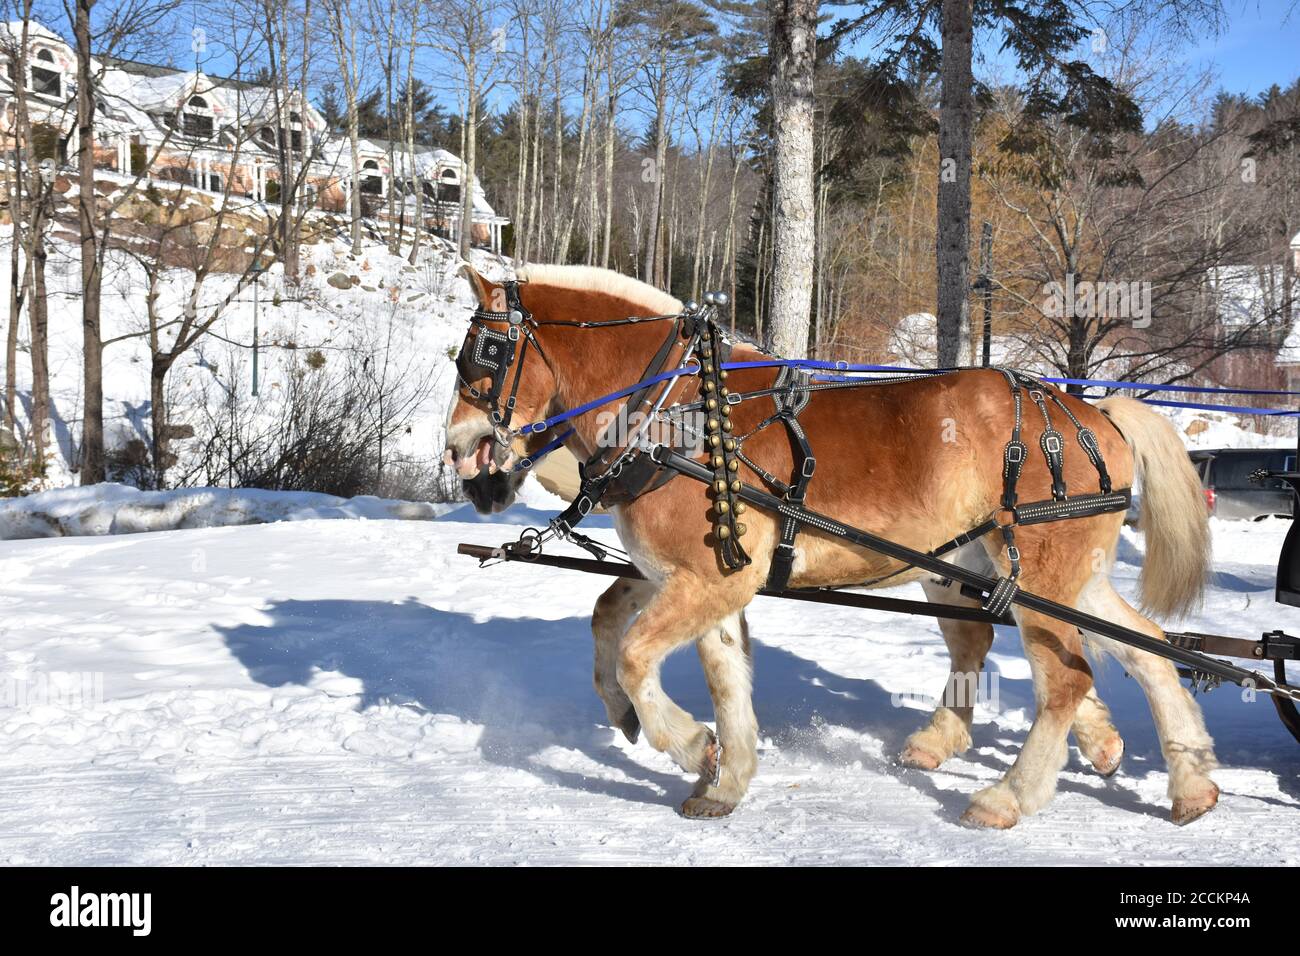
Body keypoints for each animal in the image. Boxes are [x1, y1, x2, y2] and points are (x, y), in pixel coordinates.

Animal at [444, 263, 1218, 827]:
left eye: (484, 356)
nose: (456, 449)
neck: (675, 411)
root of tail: (1093, 411)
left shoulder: (711, 579)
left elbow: (639, 656)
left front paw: (690, 743)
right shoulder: (691, 576)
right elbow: (682, 655)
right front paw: (714, 772)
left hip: (1035, 574)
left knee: (1066, 679)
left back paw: (1009, 796)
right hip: (1054, 576)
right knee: (1148, 649)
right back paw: (1188, 780)